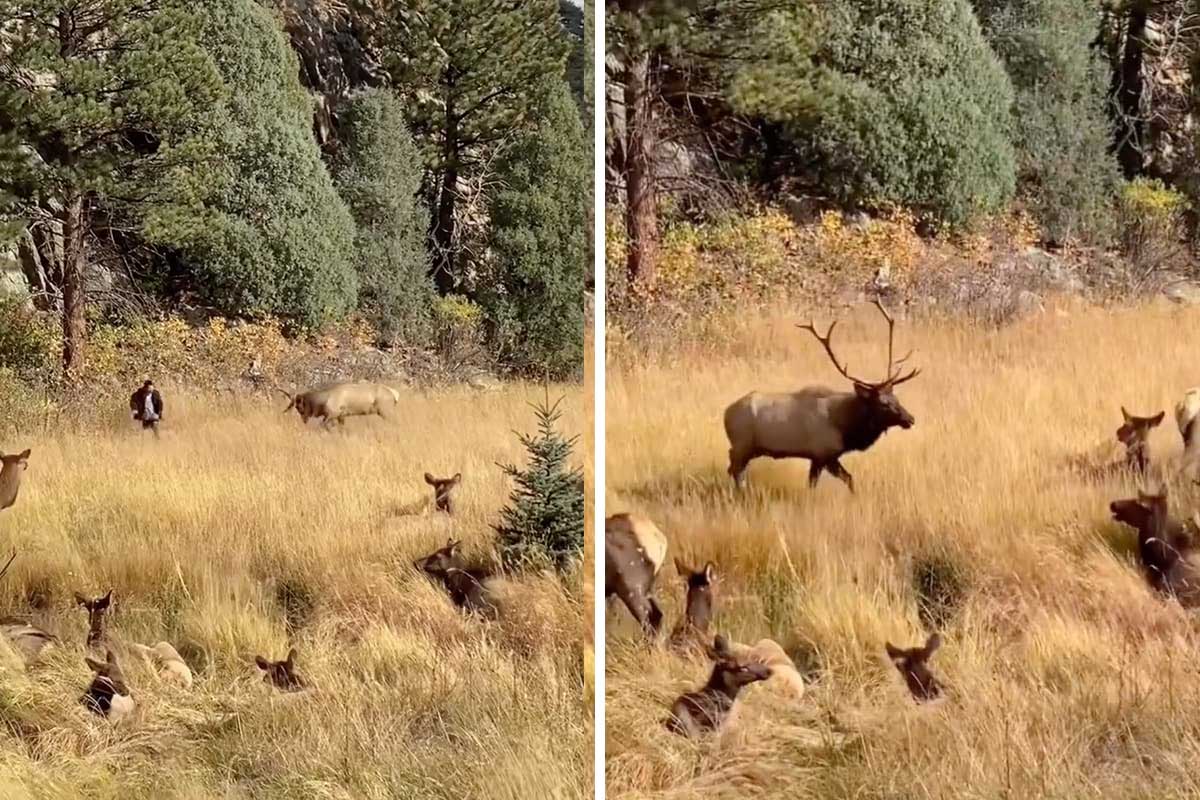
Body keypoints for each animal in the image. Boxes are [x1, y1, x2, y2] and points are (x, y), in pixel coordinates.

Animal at [724, 300, 920, 492]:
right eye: (883, 403)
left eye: (896, 399)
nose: (910, 418)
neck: (845, 426)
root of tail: (726, 413)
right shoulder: (823, 453)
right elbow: (839, 481)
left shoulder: (819, 457)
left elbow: (831, 481)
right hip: (742, 444)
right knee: (735, 470)